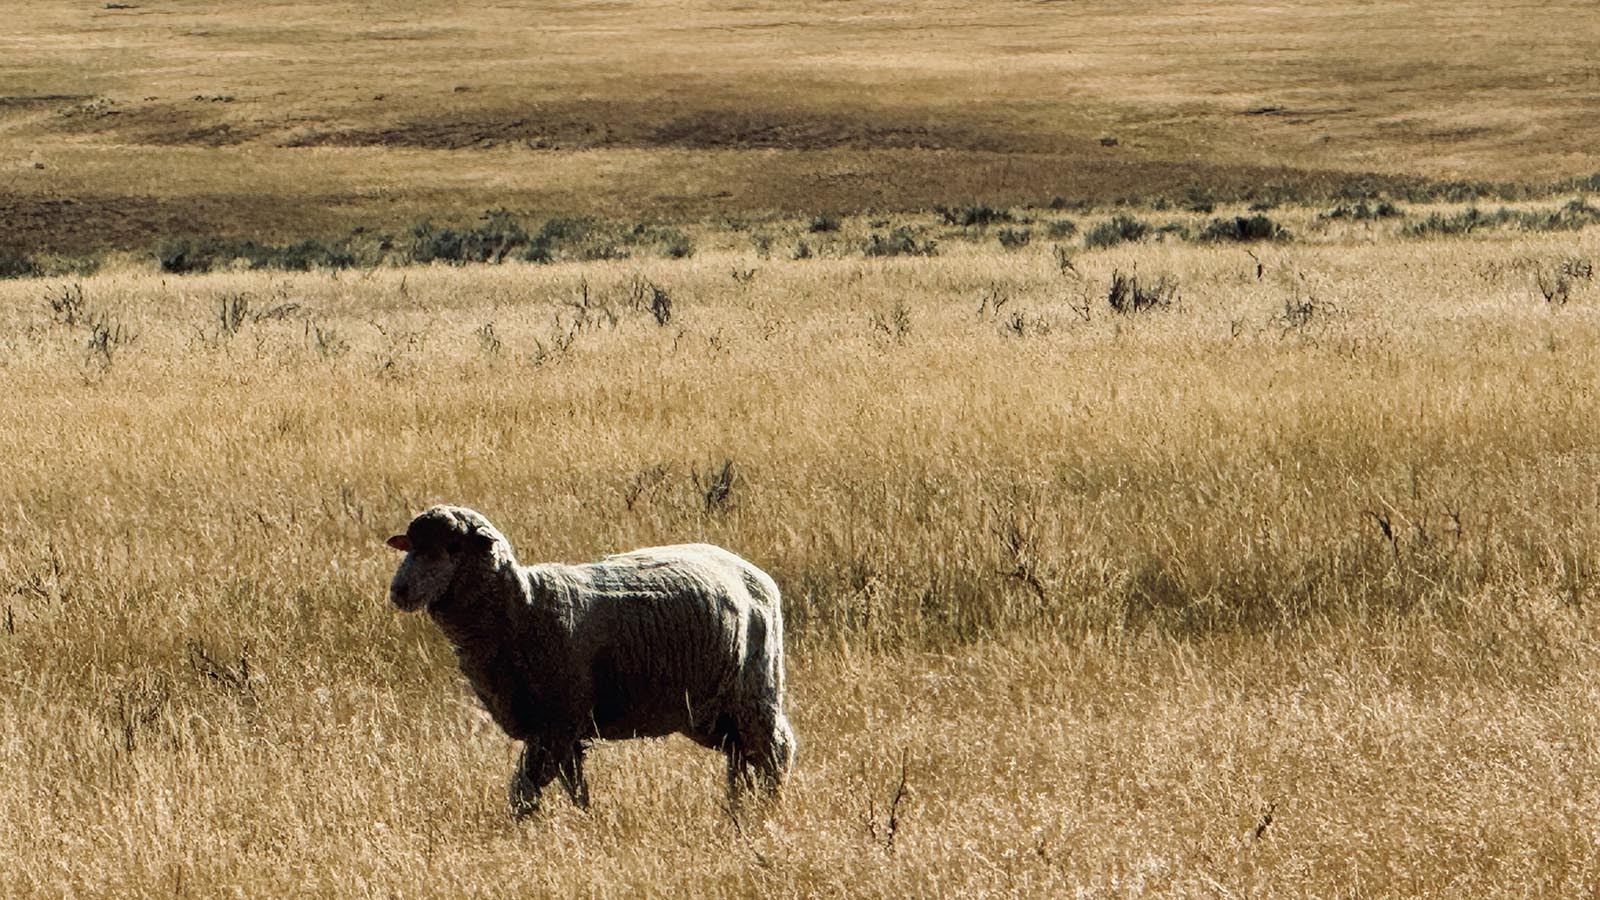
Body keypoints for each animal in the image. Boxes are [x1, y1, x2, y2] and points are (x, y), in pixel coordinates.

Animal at [384, 504, 795, 818]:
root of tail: (751, 571)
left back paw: (770, 809)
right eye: (410, 548)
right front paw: (584, 819)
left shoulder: (558, 720)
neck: (524, 609)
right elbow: (572, 784)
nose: (399, 590)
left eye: (453, 546)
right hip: (710, 710)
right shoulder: (557, 727)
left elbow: (525, 788)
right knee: (741, 755)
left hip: (754, 689)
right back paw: (736, 807)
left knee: (776, 751)